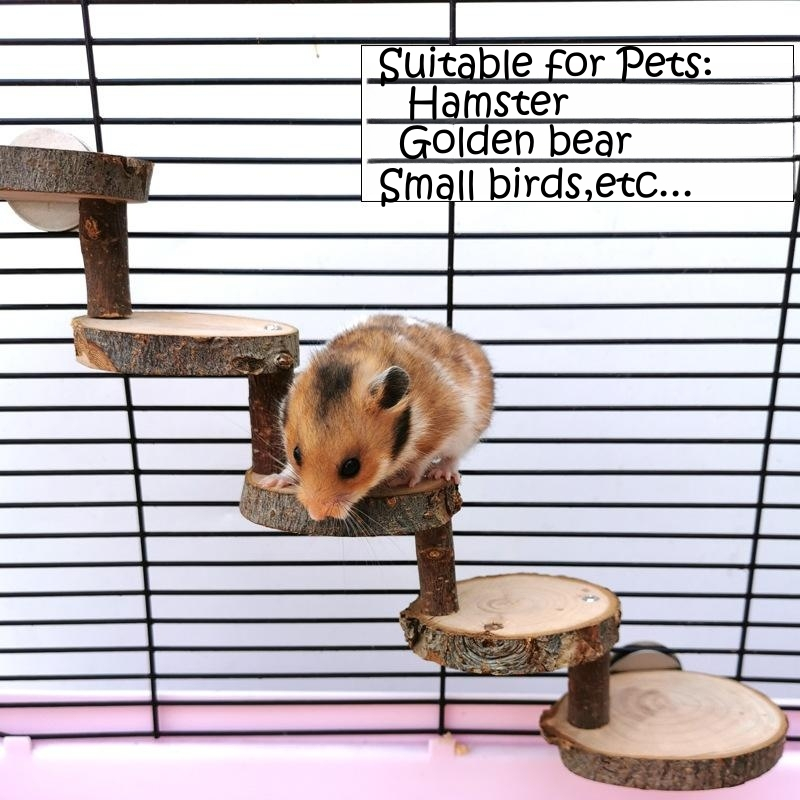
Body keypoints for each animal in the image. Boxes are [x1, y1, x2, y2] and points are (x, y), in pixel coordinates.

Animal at [255, 314, 494, 521]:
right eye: (296, 454)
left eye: (352, 467)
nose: (316, 515)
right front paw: (272, 481)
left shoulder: (443, 427)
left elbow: (422, 458)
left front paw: (400, 480)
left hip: (468, 432)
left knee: (452, 457)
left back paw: (442, 473)